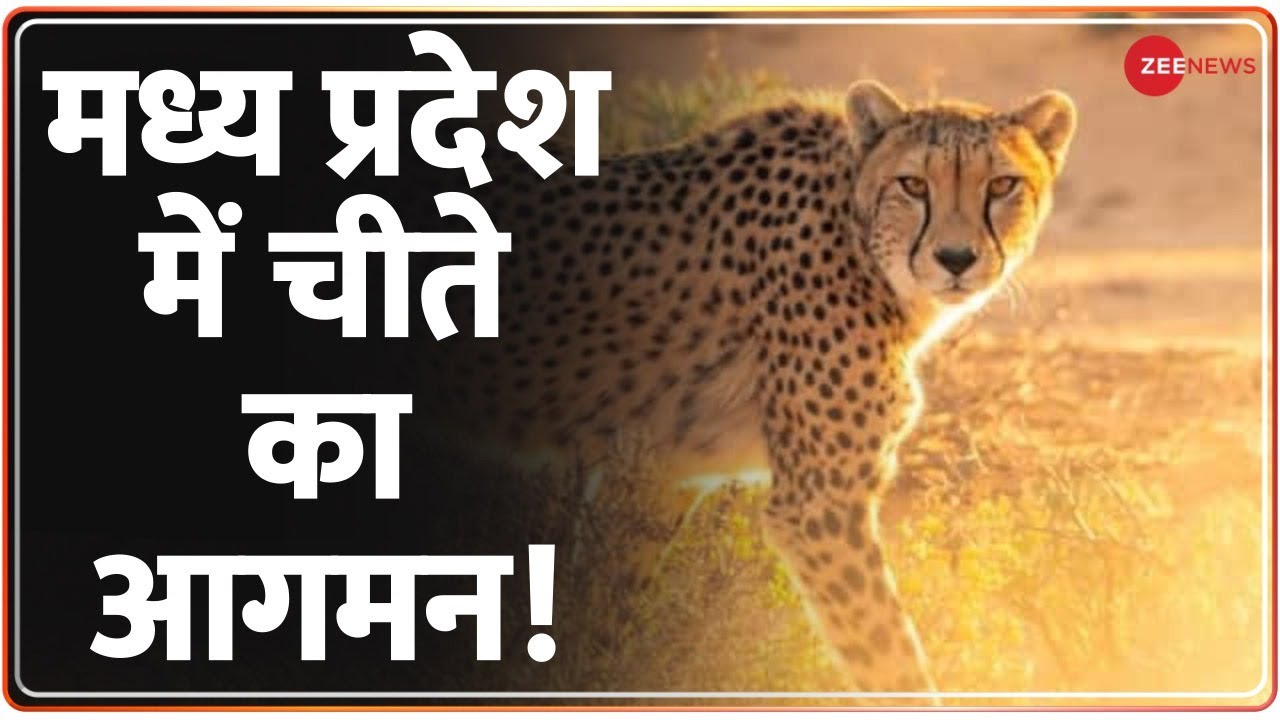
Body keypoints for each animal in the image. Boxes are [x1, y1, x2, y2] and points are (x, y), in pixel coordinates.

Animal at [409, 80, 1076, 695]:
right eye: (913, 185)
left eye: (1002, 185)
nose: (956, 258)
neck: (861, 241)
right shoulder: (819, 504)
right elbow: (891, 659)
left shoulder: (657, 475)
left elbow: (601, 612)